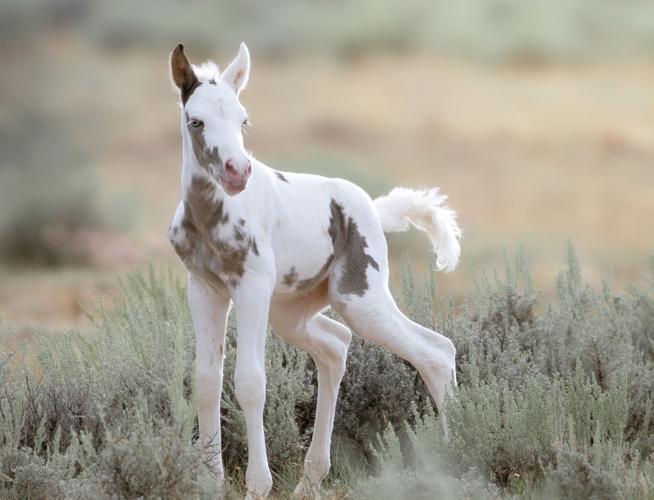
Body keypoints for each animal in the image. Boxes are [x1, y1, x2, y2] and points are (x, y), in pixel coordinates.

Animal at [167, 42, 462, 499]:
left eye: (243, 119)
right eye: (195, 121)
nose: (238, 171)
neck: (210, 215)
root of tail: (374, 208)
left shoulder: (250, 288)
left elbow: (250, 382)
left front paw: (257, 485)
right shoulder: (205, 289)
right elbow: (206, 381)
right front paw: (209, 481)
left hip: (361, 298)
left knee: (436, 352)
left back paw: (454, 460)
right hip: (292, 312)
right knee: (337, 346)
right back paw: (311, 479)